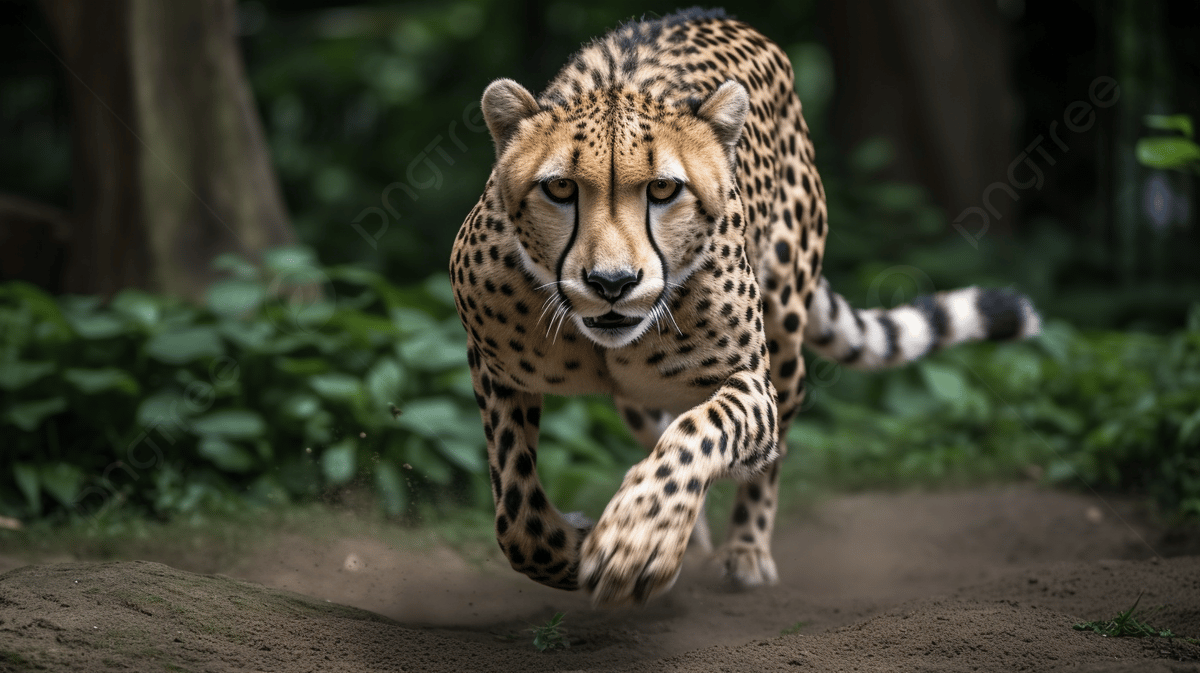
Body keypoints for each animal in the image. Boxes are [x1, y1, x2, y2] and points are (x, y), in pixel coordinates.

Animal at [448, 7, 1040, 607]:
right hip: (637, 400)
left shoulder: (752, 382)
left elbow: (698, 437)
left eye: (663, 189)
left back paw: (743, 548)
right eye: (561, 189)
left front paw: (638, 538)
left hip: (786, 344)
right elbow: (515, 511)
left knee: (763, 452)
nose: (612, 283)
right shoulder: (494, 371)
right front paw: (577, 546)